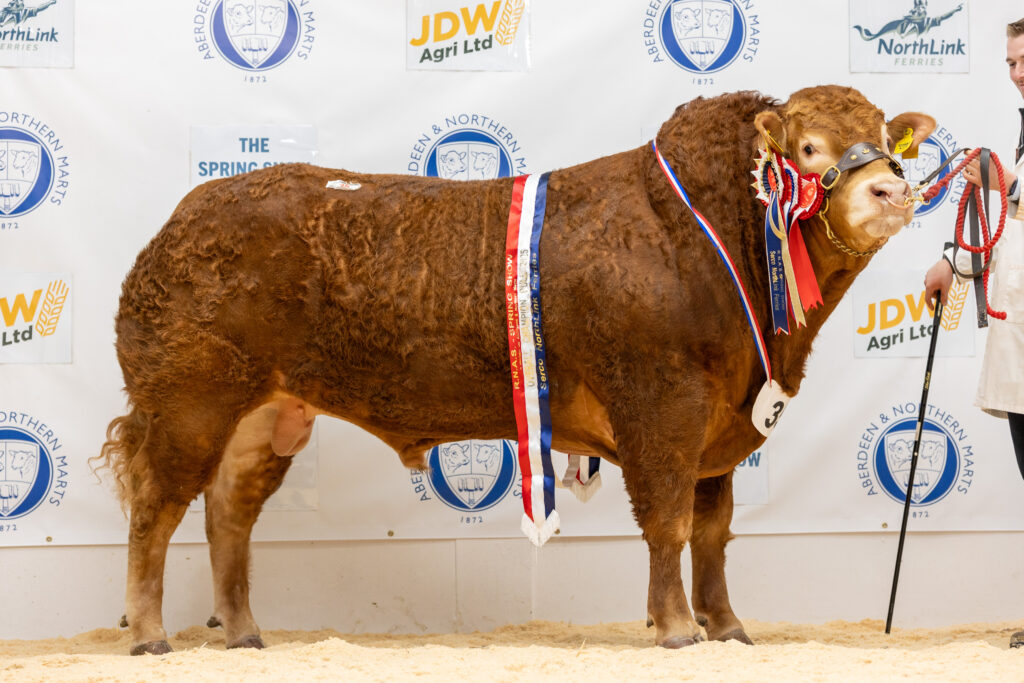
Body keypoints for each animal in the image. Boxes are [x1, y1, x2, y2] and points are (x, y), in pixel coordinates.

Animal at [96, 85, 933, 655]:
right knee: (156, 505)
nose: (893, 188)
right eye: (809, 149)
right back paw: (147, 633)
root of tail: (189, 214)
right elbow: (668, 520)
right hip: (187, 399)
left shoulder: (722, 424)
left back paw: (243, 632)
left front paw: (727, 625)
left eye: (883, 138)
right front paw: (676, 627)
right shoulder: (659, 403)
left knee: (228, 512)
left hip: (265, 415)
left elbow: (714, 530)